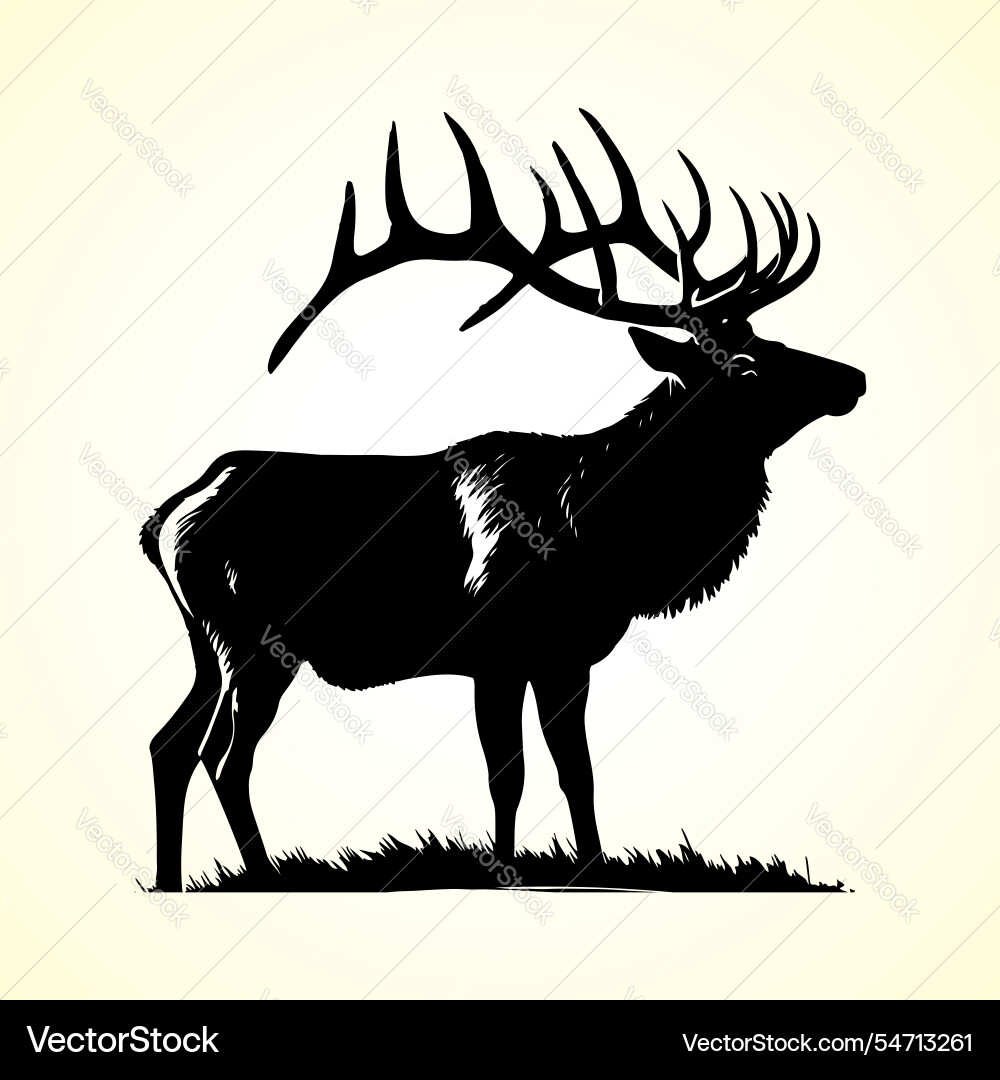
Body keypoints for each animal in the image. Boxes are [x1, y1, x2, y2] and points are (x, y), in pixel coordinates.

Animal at [142, 110, 865, 890]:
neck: (604, 541)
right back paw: (265, 873)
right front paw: (507, 870)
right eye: (747, 366)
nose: (853, 379)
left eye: (771, 339)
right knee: (223, 756)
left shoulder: (566, 655)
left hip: (204, 641)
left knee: (169, 743)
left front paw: (593, 865)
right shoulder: (494, 648)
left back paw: (170, 877)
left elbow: (576, 769)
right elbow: (506, 774)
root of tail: (160, 521)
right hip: (250, 639)